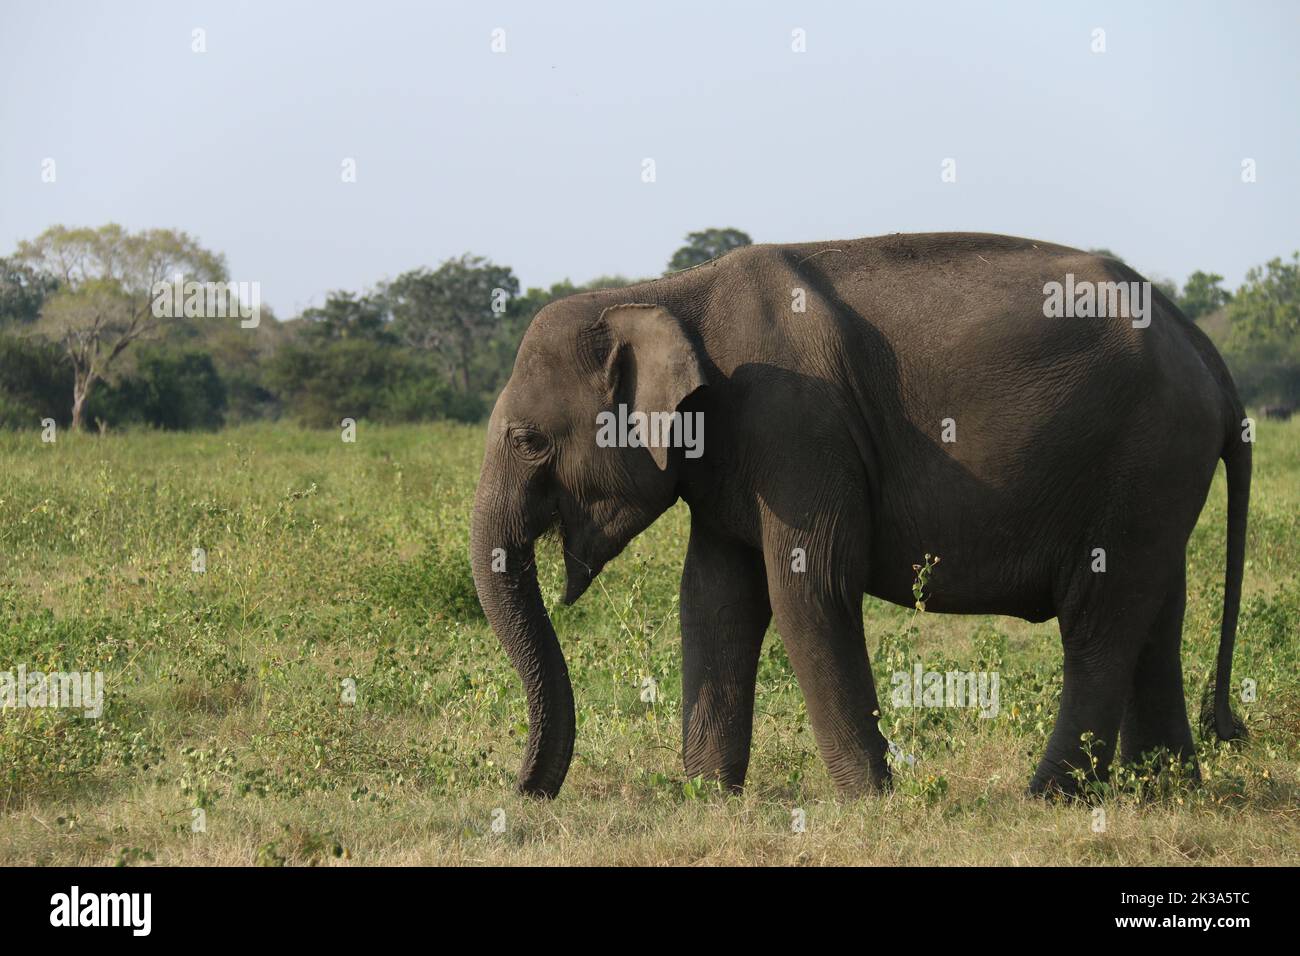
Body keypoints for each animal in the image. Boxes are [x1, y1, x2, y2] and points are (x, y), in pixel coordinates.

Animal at [470, 232, 1250, 799]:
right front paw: (708, 799)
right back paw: (1167, 790)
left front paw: (869, 802)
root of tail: (1206, 350)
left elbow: (809, 589)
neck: (663, 294)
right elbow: (715, 599)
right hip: (1156, 476)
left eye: (529, 441)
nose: (523, 792)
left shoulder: (796, 428)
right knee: (1156, 610)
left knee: (1100, 619)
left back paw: (1050, 797)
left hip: (1143, 452)